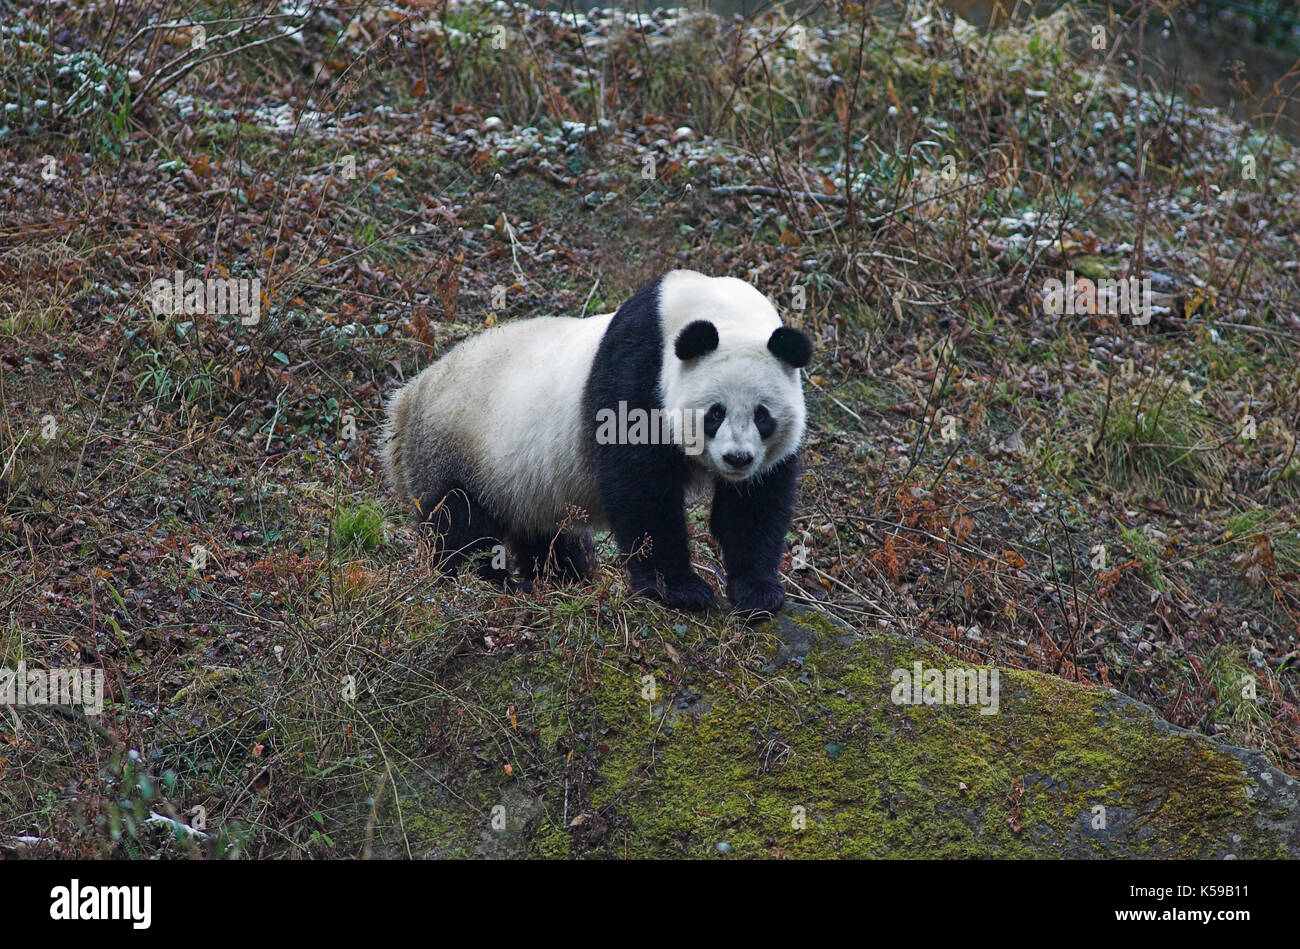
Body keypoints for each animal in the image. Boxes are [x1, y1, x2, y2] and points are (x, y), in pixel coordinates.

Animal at [382, 269, 812, 615]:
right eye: (715, 414)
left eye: (762, 415)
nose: (737, 459)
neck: (719, 309)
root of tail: (408, 397)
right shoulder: (638, 368)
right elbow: (641, 486)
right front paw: (679, 588)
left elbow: (754, 503)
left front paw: (757, 591)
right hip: (458, 447)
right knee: (459, 522)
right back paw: (490, 582)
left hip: (527, 483)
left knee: (545, 533)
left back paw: (568, 578)